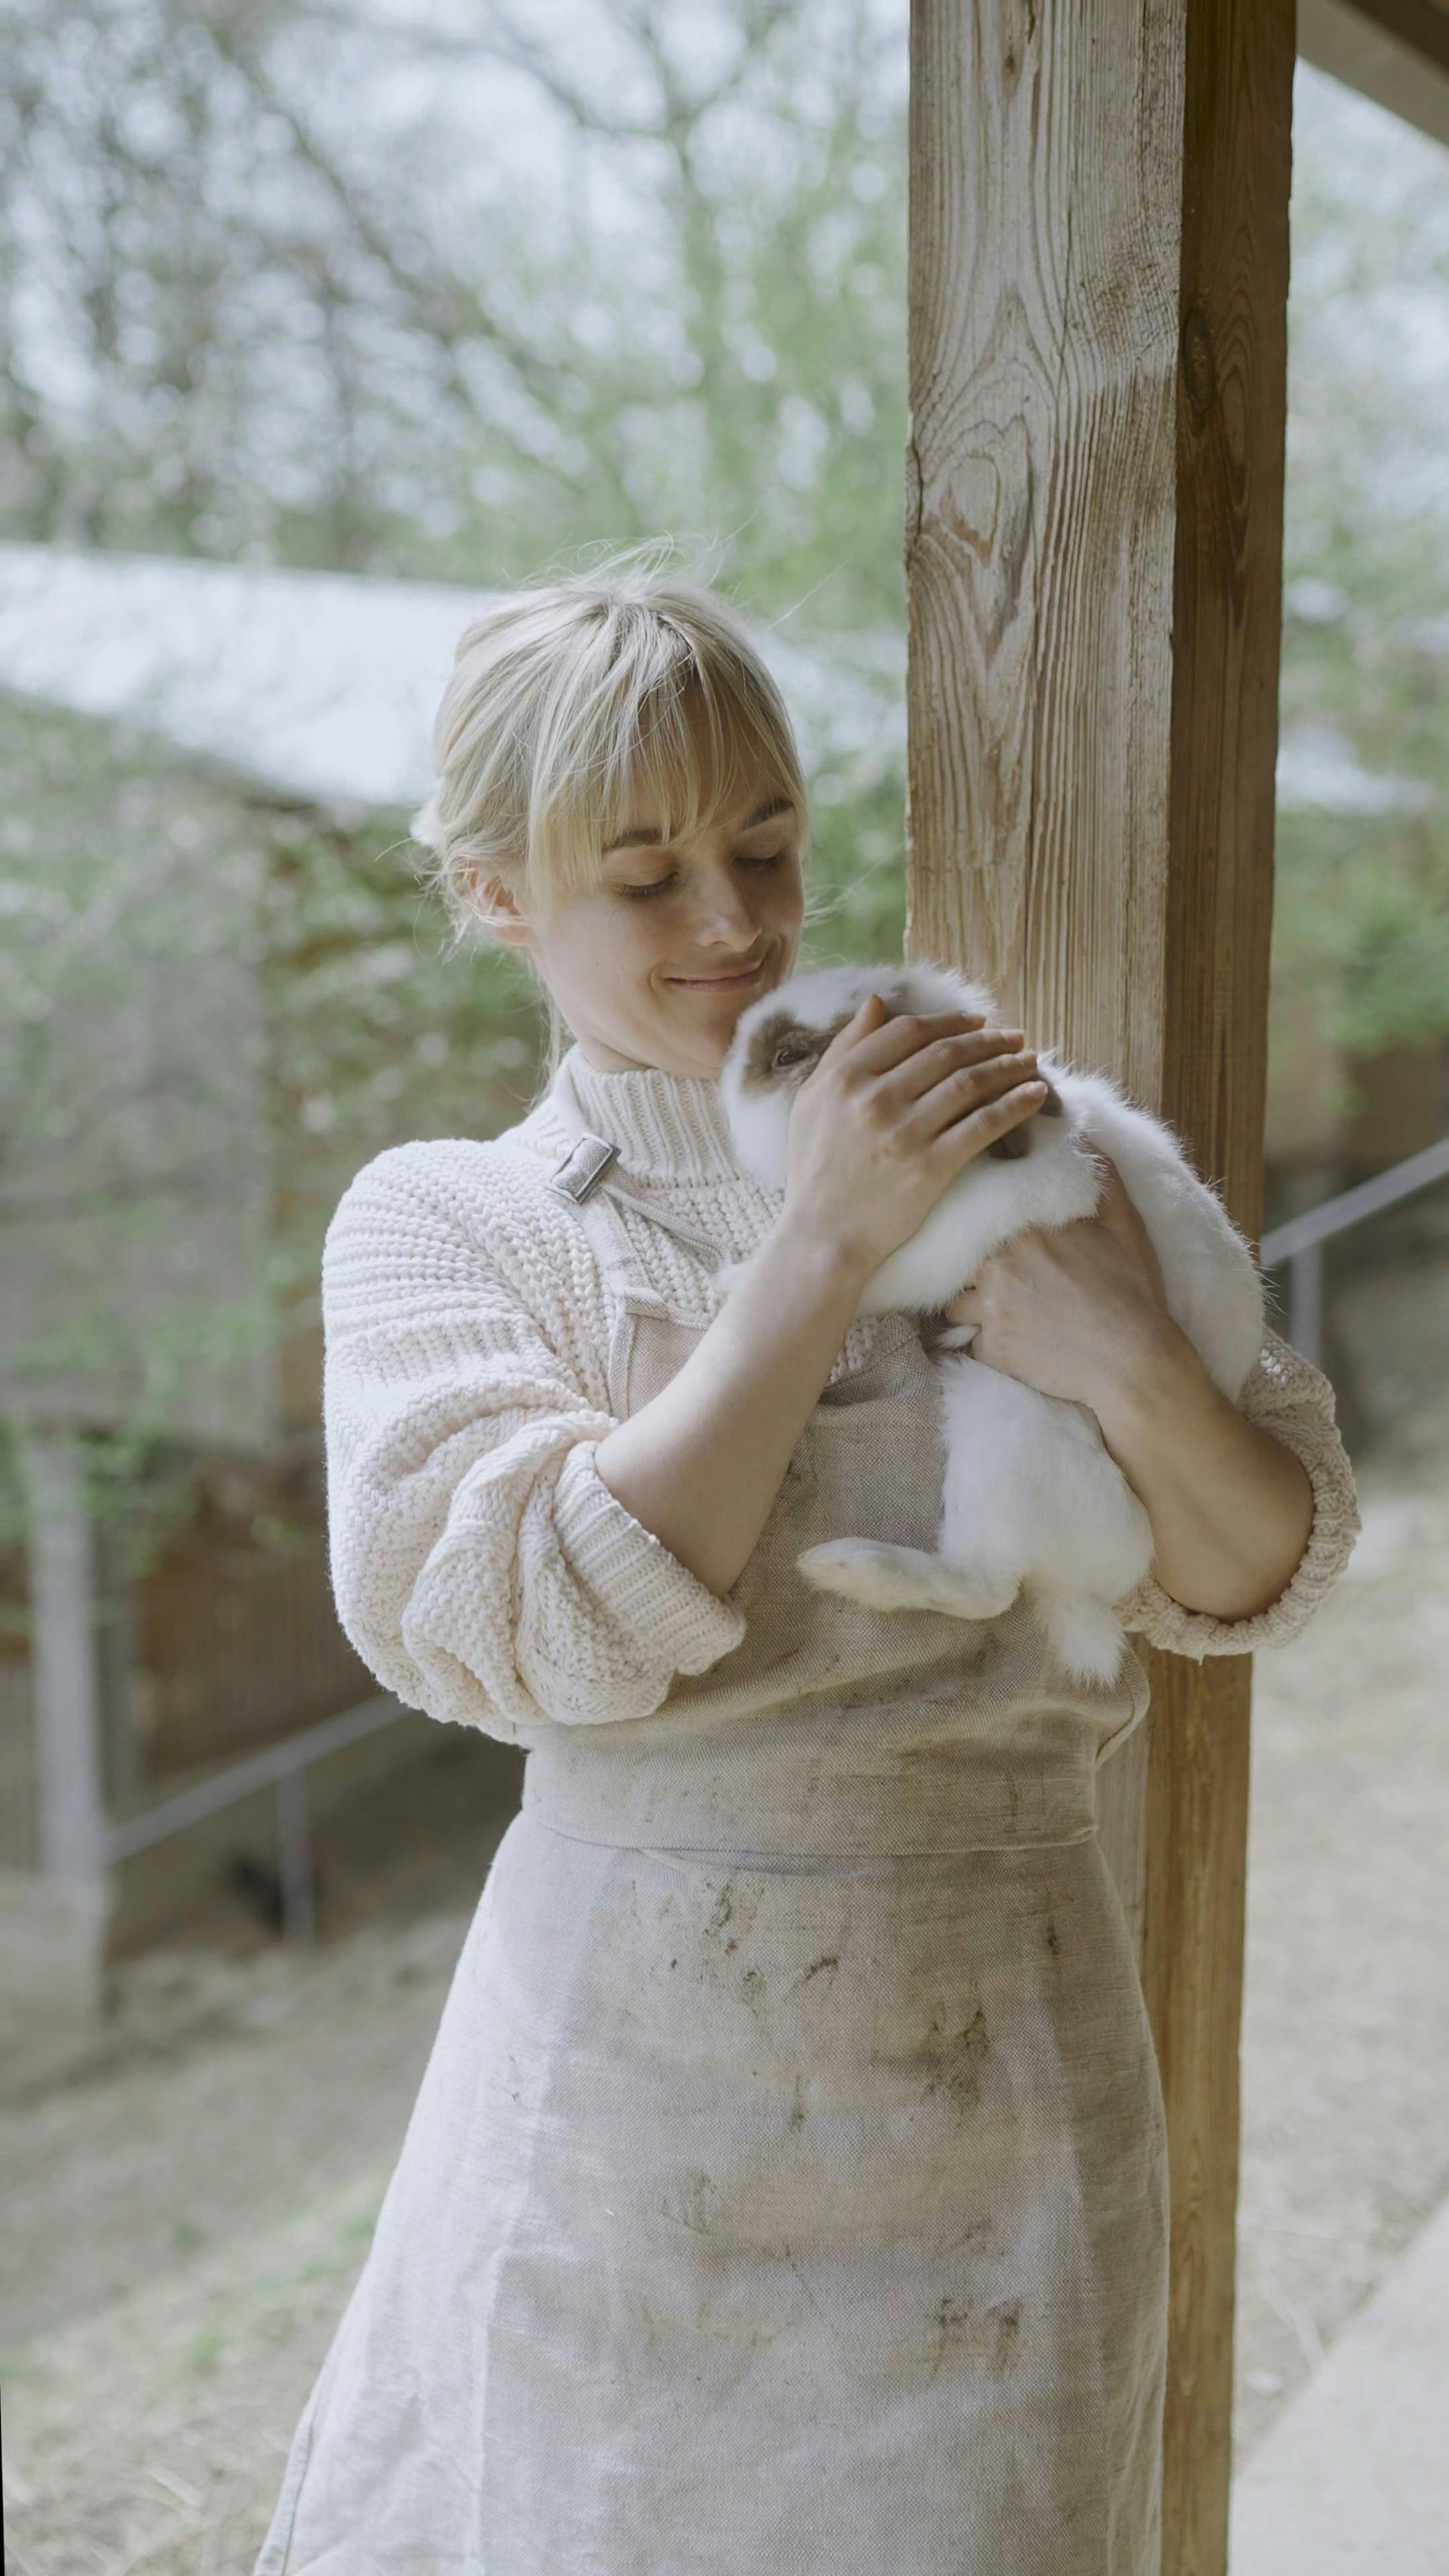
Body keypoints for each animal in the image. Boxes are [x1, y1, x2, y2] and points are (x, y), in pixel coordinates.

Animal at [717, 960, 1265, 1684]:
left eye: (788, 1055)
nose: (729, 1068)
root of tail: (1094, 1581)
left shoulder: (991, 1219)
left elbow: (884, 1270)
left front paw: (735, 1284)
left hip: (1004, 1421)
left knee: (986, 1588)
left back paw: (845, 1568)